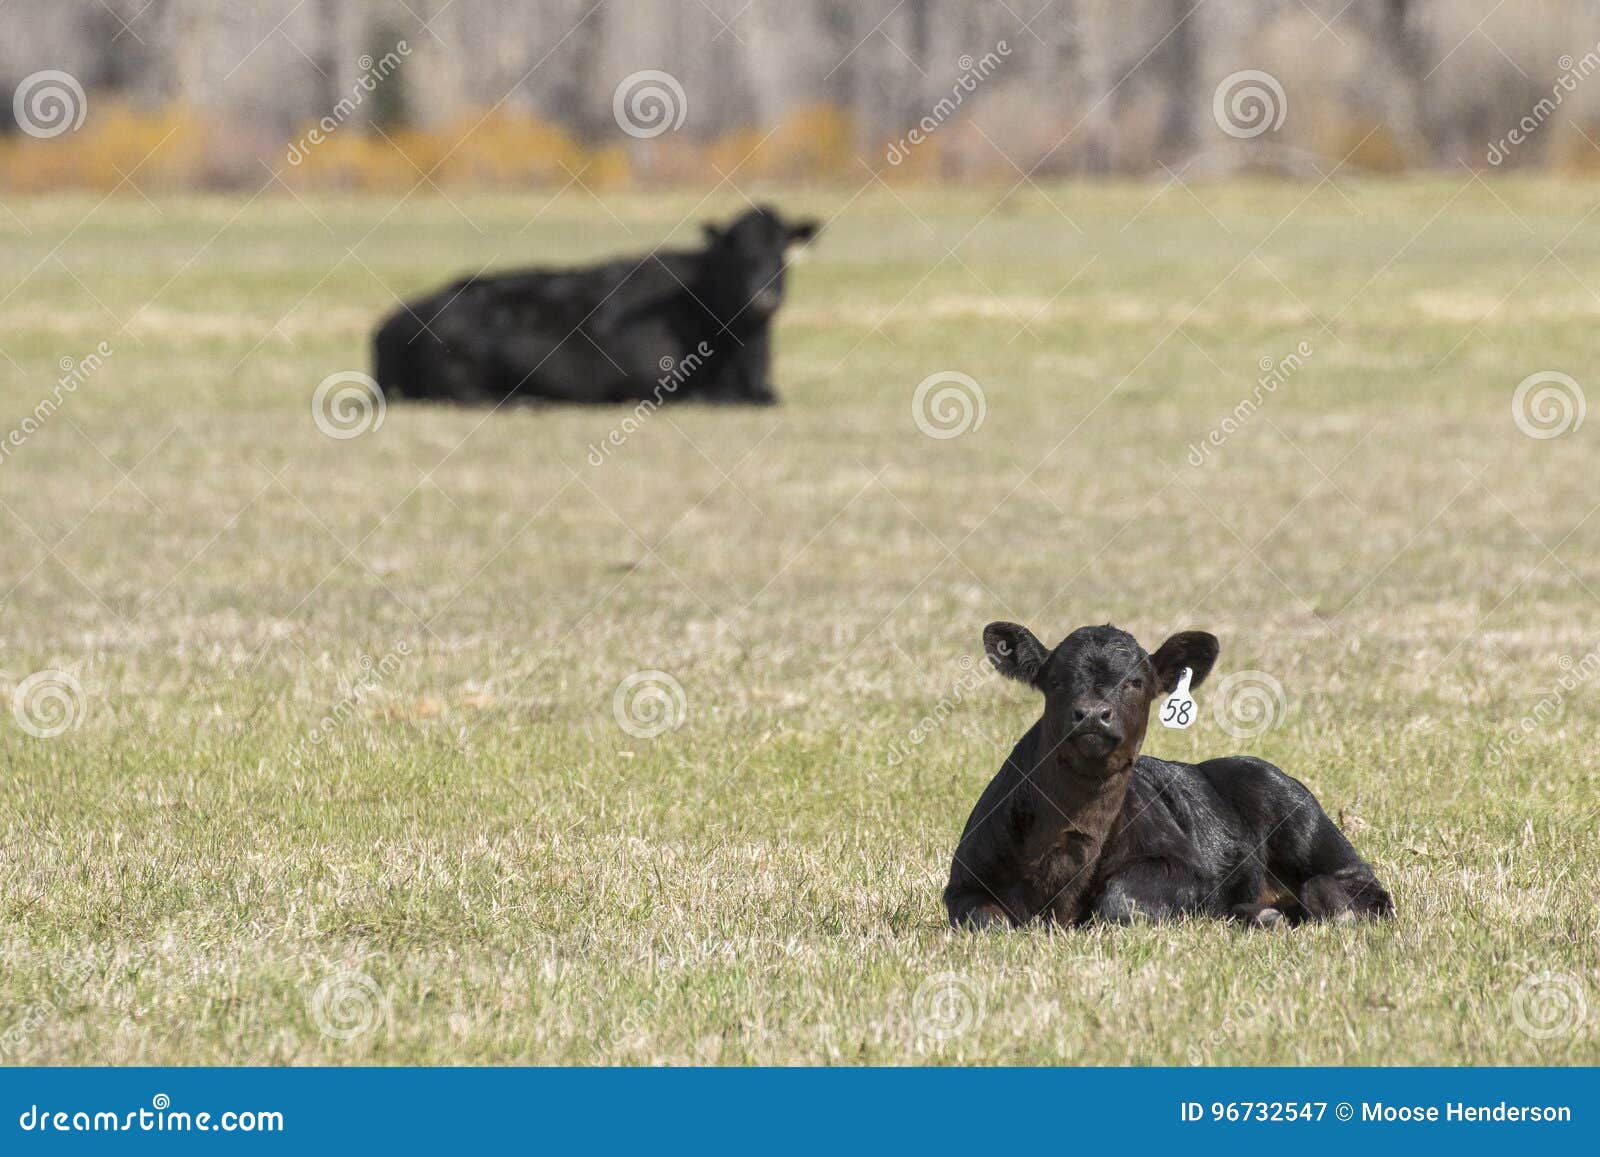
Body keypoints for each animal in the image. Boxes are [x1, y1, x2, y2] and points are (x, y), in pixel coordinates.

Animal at [944, 621, 1393, 930]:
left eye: (1136, 681)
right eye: (1054, 680)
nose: (1092, 714)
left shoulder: (1188, 871)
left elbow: (1120, 901)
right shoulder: (963, 882)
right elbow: (990, 920)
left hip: (1303, 820)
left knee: (1358, 888)